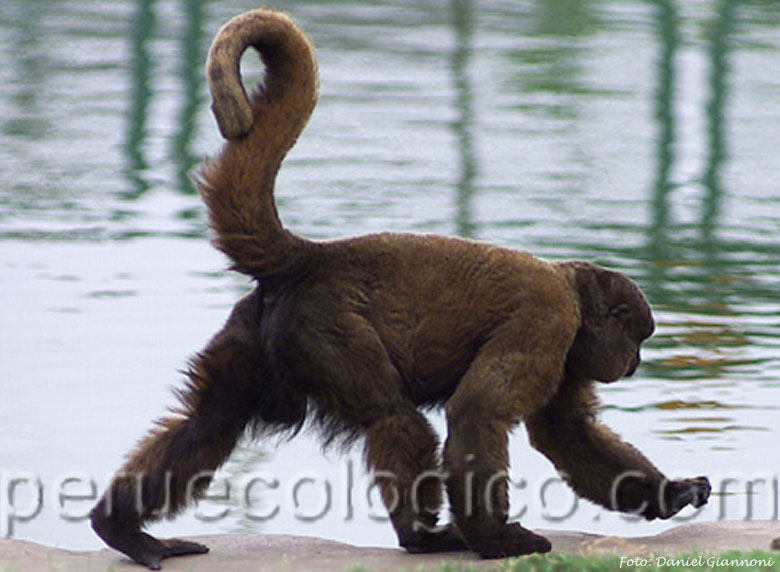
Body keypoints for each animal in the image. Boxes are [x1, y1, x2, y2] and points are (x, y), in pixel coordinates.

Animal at [89, 8, 712, 569]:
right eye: (638, 339)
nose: (634, 362)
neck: (572, 287)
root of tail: (314, 256)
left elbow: (568, 432)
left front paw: (671, 495)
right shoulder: (548, 318)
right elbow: (477, 411)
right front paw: (494, 539)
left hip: (256, 331)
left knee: (209, 422)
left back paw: (122, 529)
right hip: (325, 326)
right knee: (395, 417)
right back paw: (423, 537)